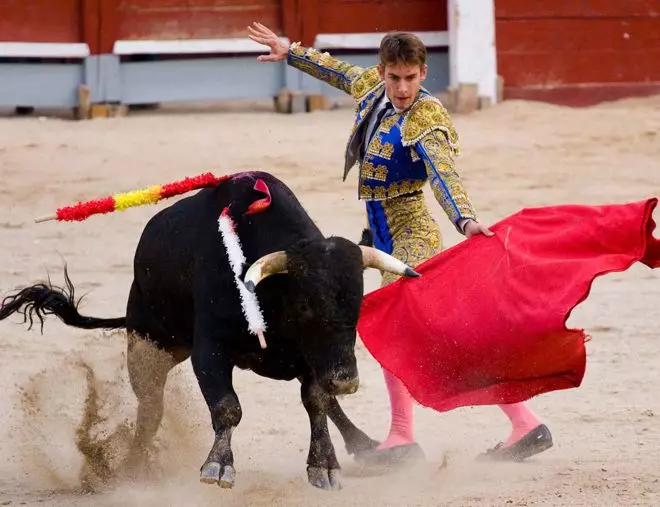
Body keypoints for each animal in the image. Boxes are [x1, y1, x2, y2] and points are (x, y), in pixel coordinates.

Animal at [0, 172, 420, 492]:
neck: (271, 293)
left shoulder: (312, 358)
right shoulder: (210, 350)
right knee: (150, 408)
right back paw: (132, 469)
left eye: (359, 301)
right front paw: (217, 467)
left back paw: (369, 446)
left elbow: (317, 401)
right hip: (147, 342)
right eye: (305, 304)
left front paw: (325, 466)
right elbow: (227, 406)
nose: (346, 379)